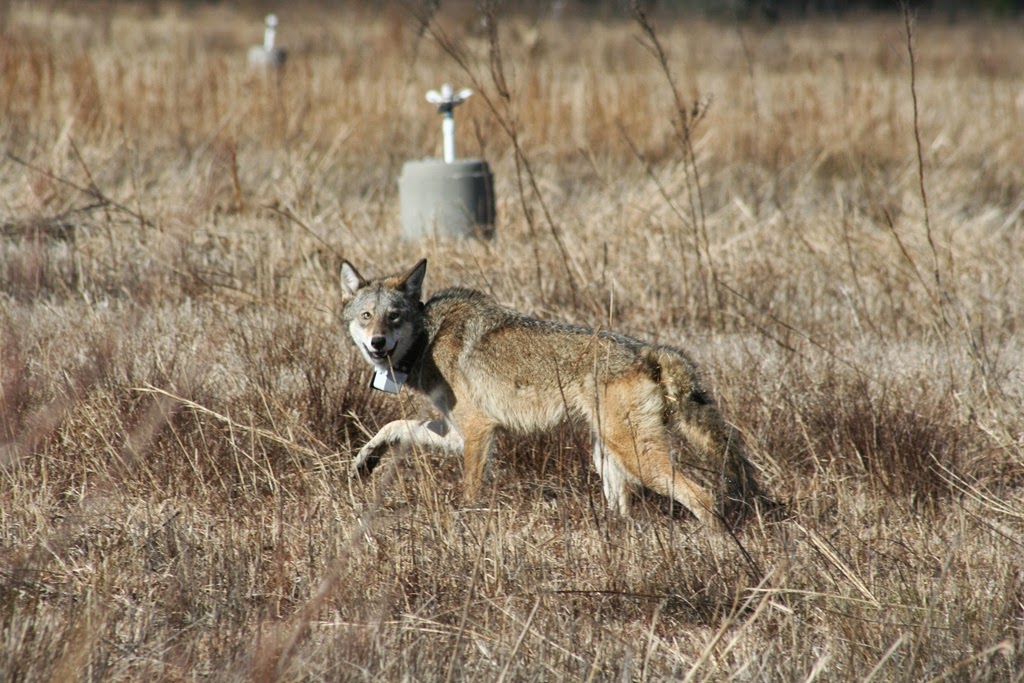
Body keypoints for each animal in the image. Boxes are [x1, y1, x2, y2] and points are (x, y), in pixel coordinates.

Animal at [340, 258, 758, 532]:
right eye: (366, 316)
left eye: (394, 316)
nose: (377, 343)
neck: (429, 338)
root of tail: (649, 351)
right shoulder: (457, 432)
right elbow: (395, 426)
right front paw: (365, 460)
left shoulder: (478, 431)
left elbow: (470, 492)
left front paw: (466, 526)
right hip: (606, 457)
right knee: (626, 511)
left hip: (637, 458)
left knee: (704, 497)